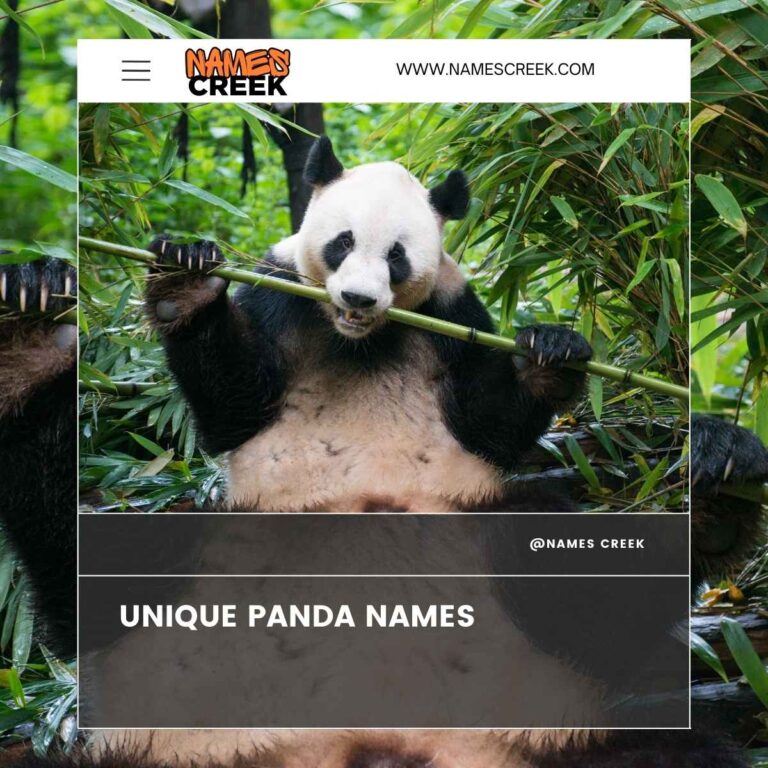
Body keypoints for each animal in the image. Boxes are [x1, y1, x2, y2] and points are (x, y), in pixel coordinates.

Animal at [143, 136, 593, 513]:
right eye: (344, 242)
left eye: (396, 255)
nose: (358, 298)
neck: (358, 340)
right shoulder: (277, 290)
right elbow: (237, 407)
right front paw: (184, 279)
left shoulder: (452, 313)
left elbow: (486, 426)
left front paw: (551, 353)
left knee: (543, 505)